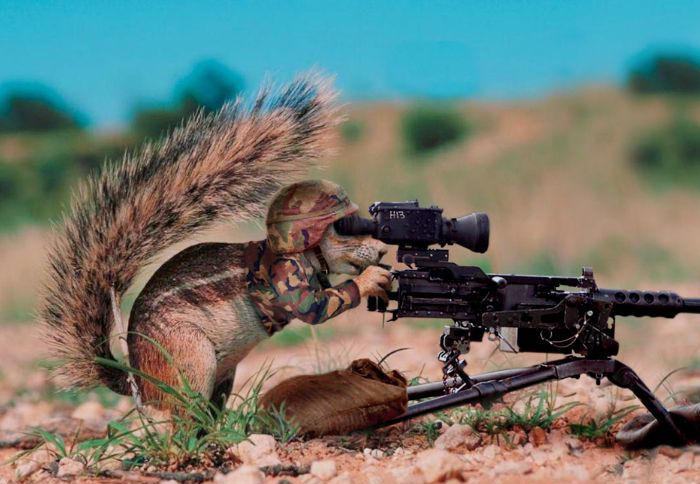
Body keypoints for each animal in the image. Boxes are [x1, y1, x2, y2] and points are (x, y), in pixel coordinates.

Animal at [40, 74, 391, 413]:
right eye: (345, 231)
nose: (384, 250)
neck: (301, 253)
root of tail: (138, 378)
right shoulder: (283, 273)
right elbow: (313, 308)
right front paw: (370, 280)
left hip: (223, 374)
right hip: (189, 358)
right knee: (183, 416)